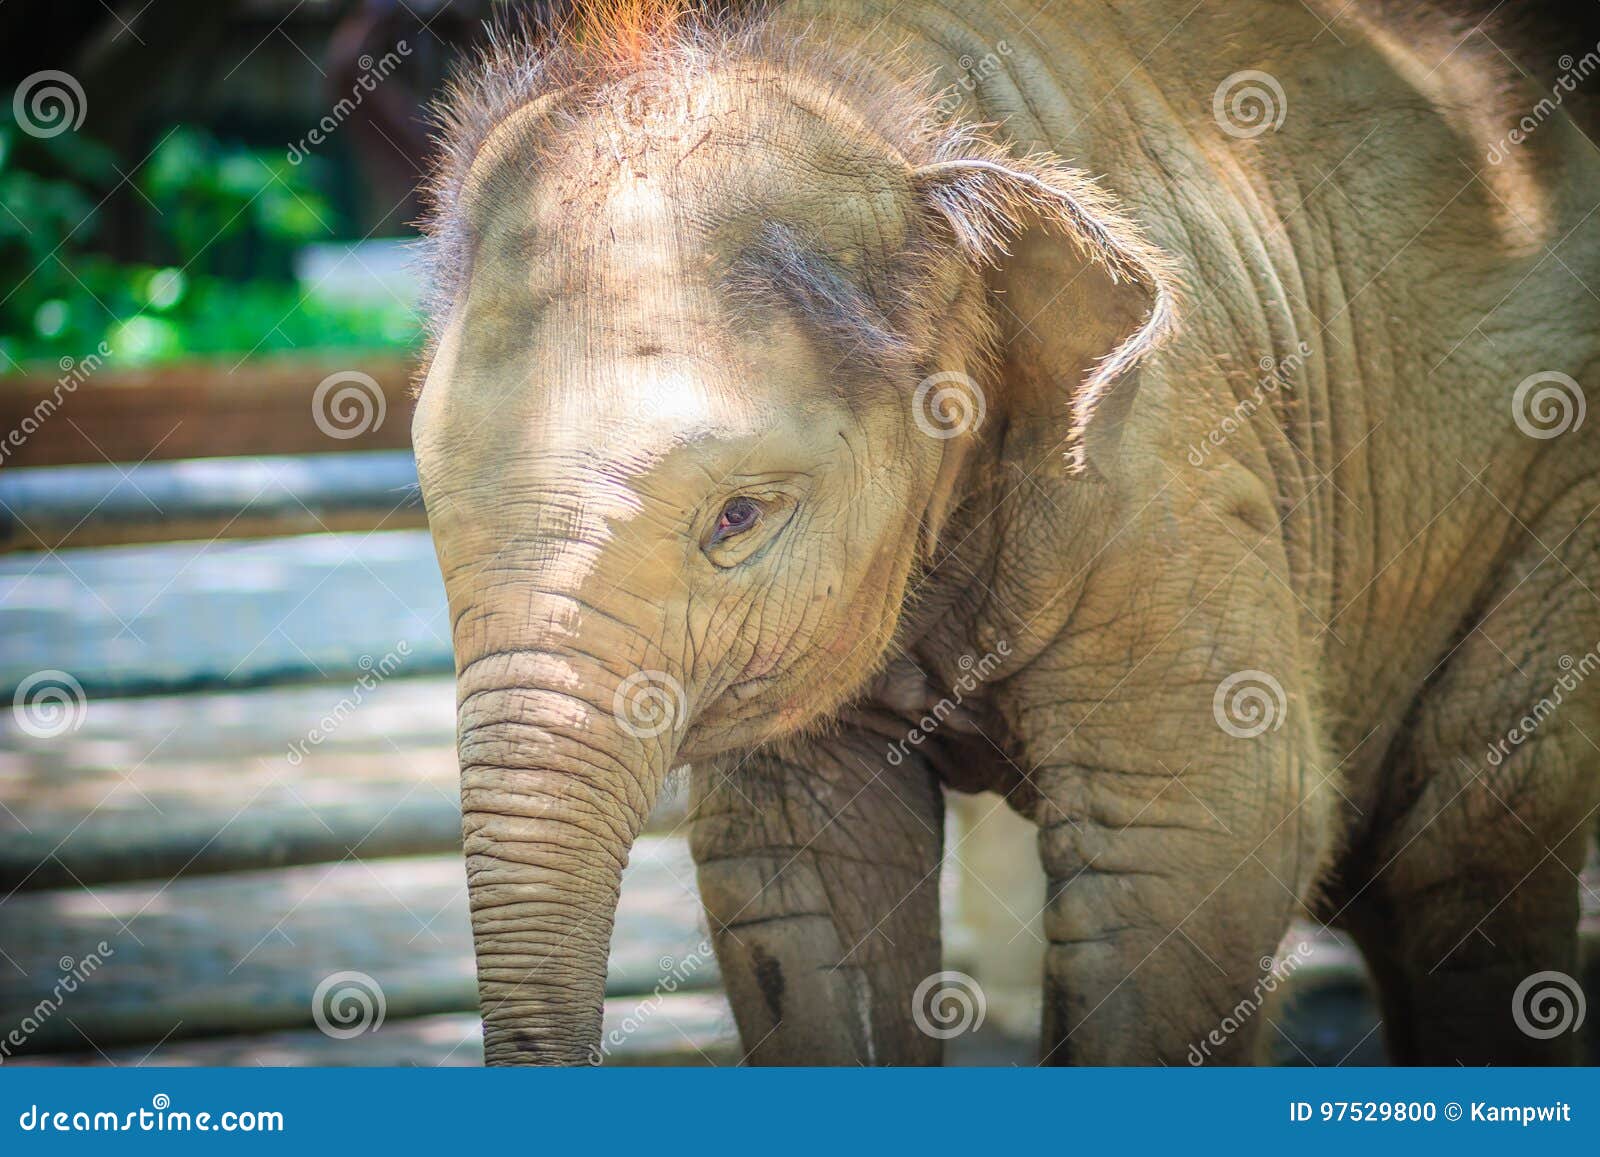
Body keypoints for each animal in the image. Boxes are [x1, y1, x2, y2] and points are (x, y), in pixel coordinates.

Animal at [411, 0, 1600, 1065]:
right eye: (433, 506)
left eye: (737, 517)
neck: (878, 98)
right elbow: (805, 873)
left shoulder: (1171, 468)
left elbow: (1205, 842)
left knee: (1458, 849)